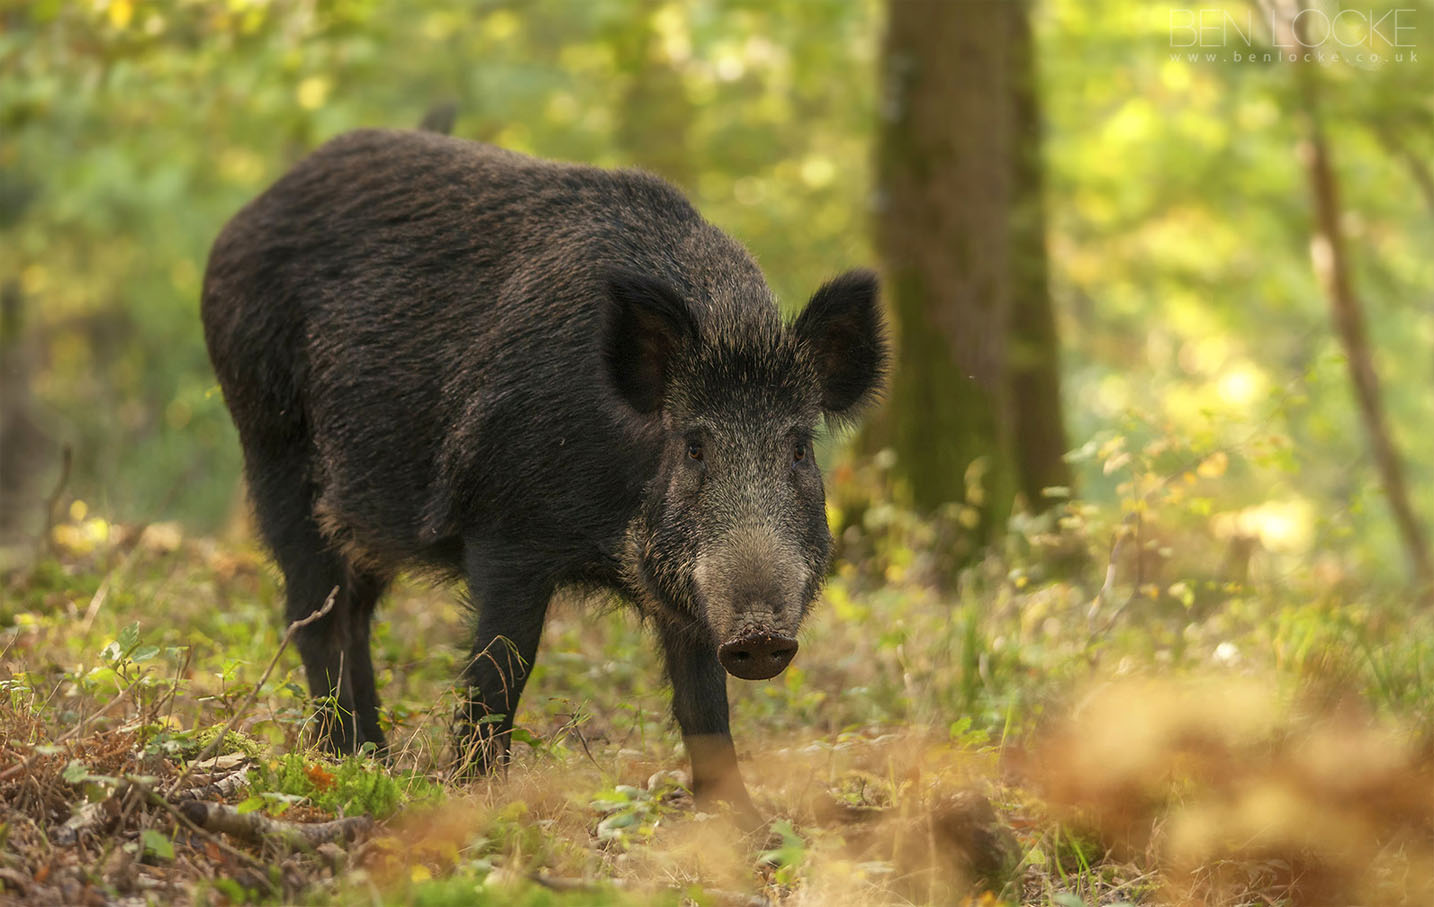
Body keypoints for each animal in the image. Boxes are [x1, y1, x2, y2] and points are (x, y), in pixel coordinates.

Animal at [200, 127, 886, 817]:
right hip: (273, 448)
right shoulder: (504, 533)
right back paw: (342, 763)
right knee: (312, 613)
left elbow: (704, 707)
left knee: (353, 616)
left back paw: (373, 764)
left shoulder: (684, 593)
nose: (761, 636)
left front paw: (742, 825)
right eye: (693, 446)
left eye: (799, 448)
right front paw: (476, 801)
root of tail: (243, 221)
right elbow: (500, 674)